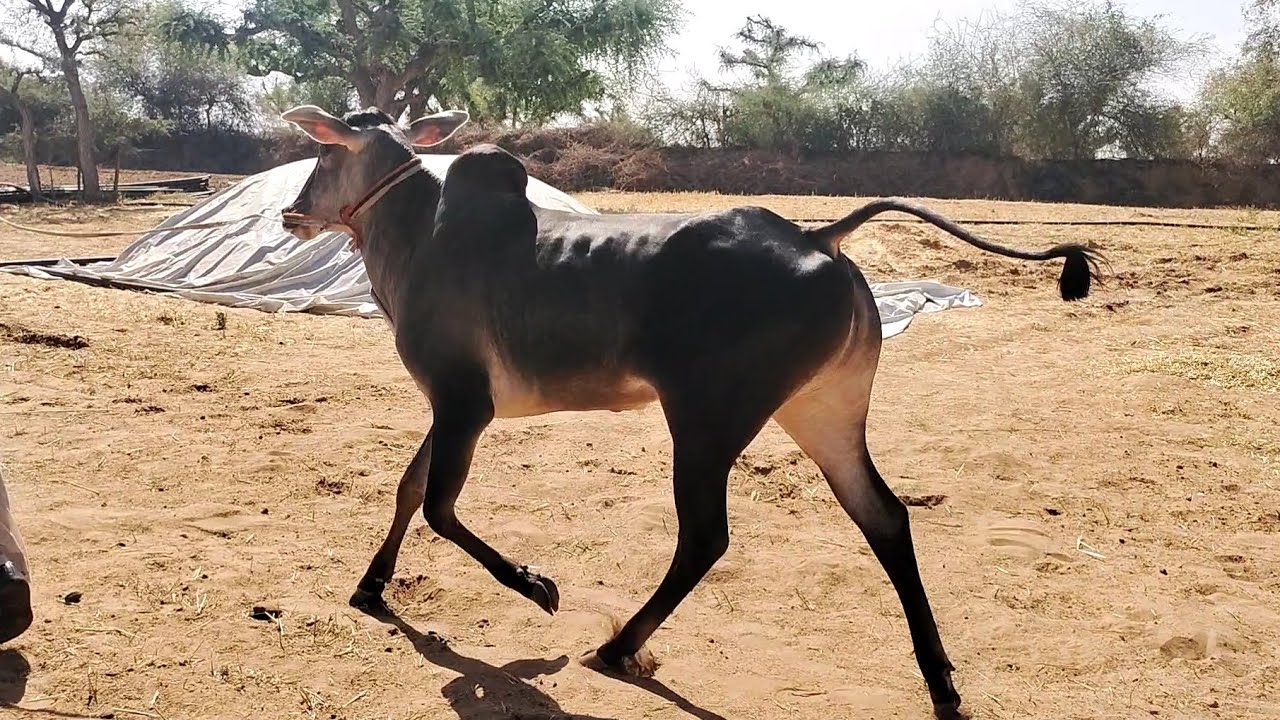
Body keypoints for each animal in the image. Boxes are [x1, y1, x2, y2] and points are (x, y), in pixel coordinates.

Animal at [278, 104, 1103, 720]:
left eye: (320, 154)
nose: (291, 211)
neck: (418, 236)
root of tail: (815, 236)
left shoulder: (463, 403)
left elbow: (439, 506)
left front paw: (536, 588)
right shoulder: (447, 407)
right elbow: (409, 489)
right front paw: (371, 587)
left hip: (705, 420)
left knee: (706, 536)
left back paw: (619, 647)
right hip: (823, 413)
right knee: (885, 517)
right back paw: (941, 682)